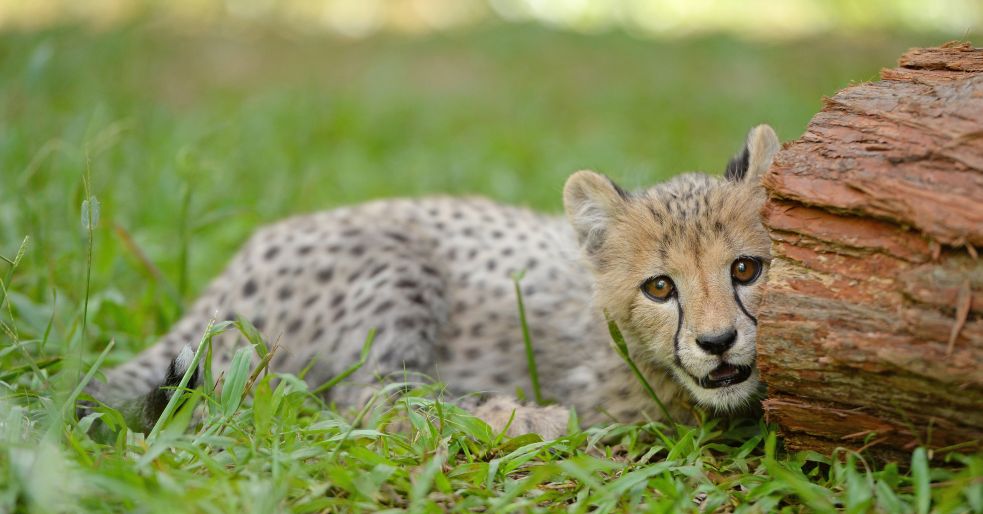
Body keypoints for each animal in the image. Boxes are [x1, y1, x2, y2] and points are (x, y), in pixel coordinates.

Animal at [85, 125, 781, 440]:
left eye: (745, 269)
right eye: (660, 288)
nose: (717, 343)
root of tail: (239, 261)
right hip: (398, 265)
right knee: (369, 399)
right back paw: (528, 419)